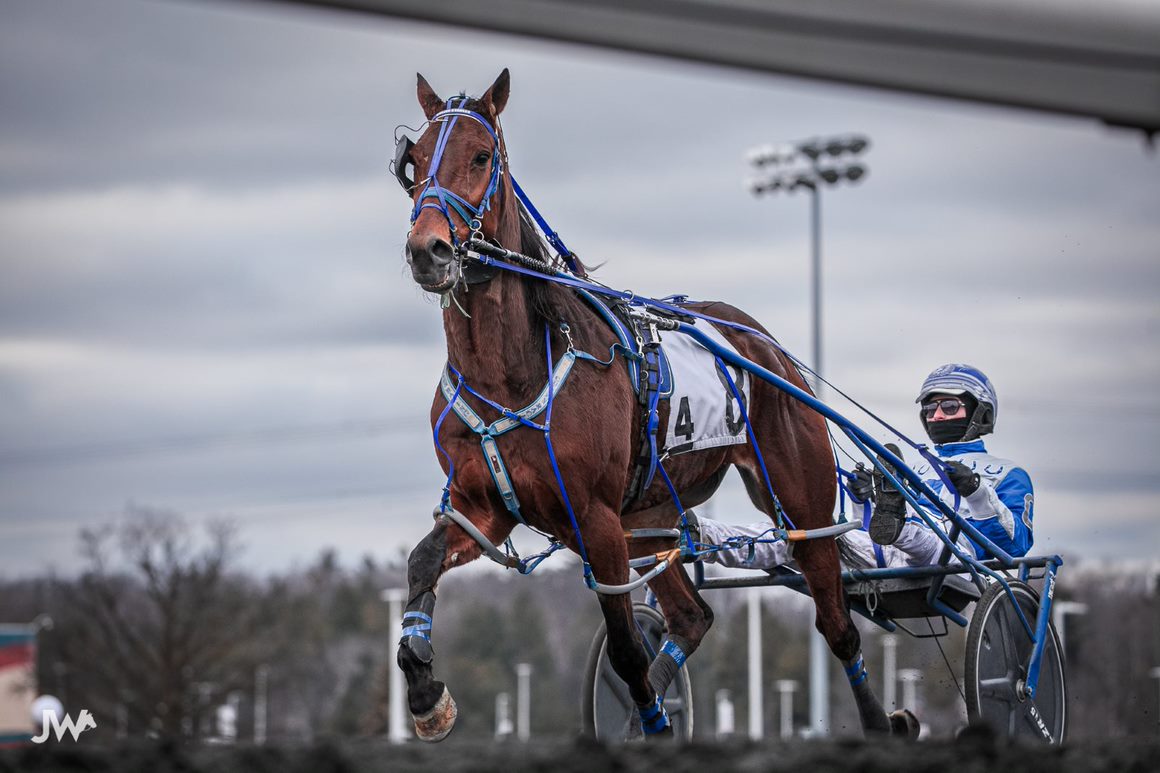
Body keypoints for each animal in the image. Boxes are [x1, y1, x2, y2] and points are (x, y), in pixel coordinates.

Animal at [393, 69, 917, 741]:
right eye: (413, 162)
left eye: (482, 156)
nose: (427, 249)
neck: (512, 372)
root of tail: (760, 340)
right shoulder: (482, 506)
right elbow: (422, 562)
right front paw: (426, 694)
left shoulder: (594, 518)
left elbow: (624, 649)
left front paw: (648, 714)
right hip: (651, 517)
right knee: (692, 617)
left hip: (797, 497)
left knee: (837, 623)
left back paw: (879, 721)